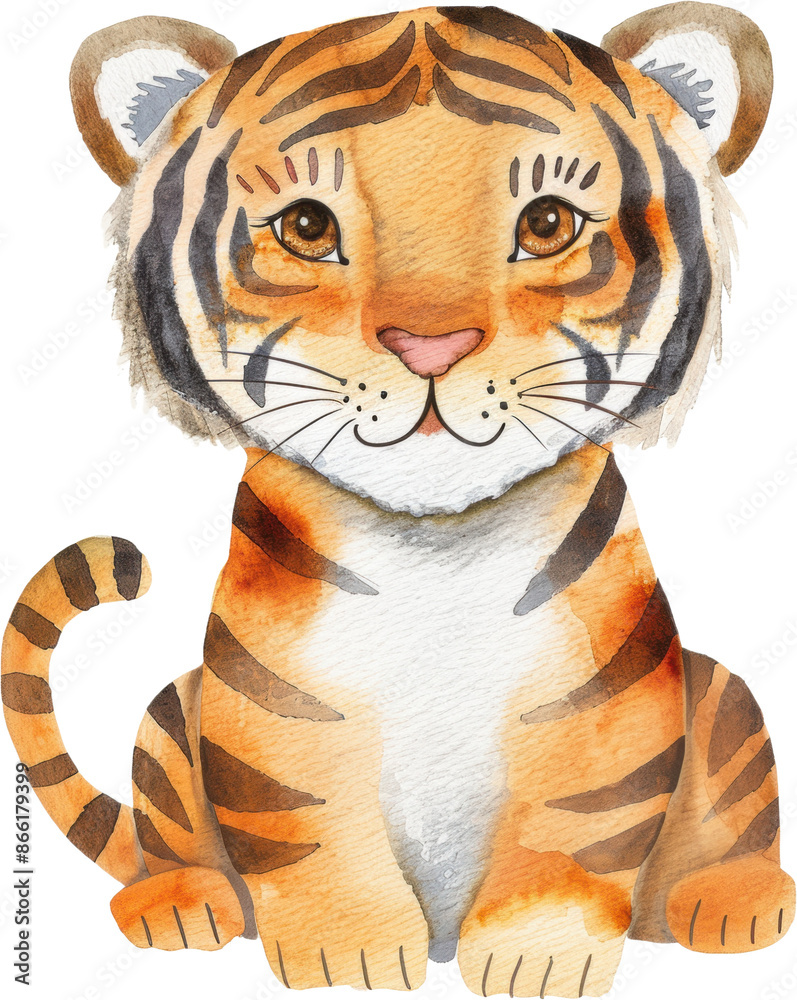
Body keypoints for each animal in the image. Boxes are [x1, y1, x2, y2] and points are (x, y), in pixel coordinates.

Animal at [2, 3, 794, 996]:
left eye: (546, 222)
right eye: (306, 225)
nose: (429, 346)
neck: (438, 546)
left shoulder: (604, 699)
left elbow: (577, 819)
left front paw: (537, 955)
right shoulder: (275, 705)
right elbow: (301, 818)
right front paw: (348, 954)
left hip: (718, 696)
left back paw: (733, 903)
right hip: (171, 711)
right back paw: (180, 904)